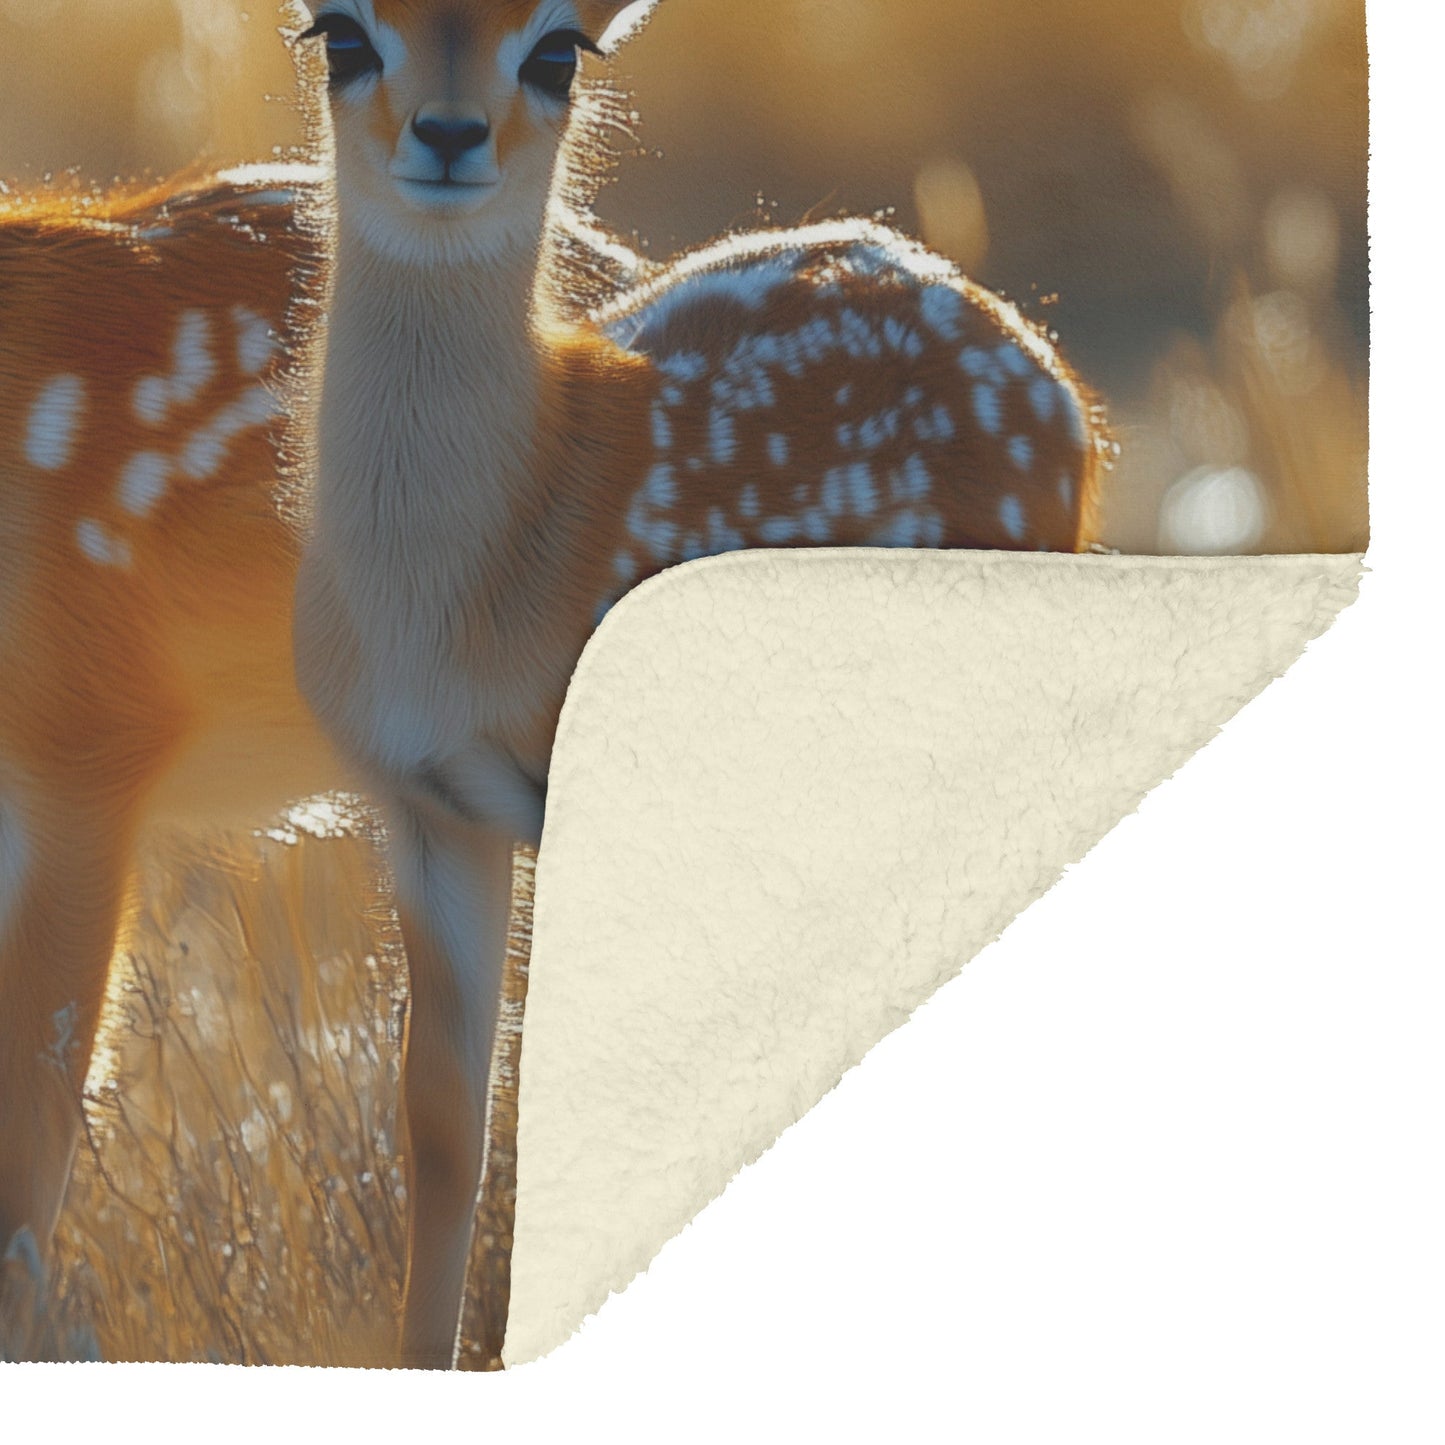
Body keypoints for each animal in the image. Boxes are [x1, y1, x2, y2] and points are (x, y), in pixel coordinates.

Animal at [288, 0, 1106, 1368]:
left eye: (556, 50)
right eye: (340, 33)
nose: (448, 135)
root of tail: (1067, 400)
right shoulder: (428, 802)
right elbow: (446, 1123)